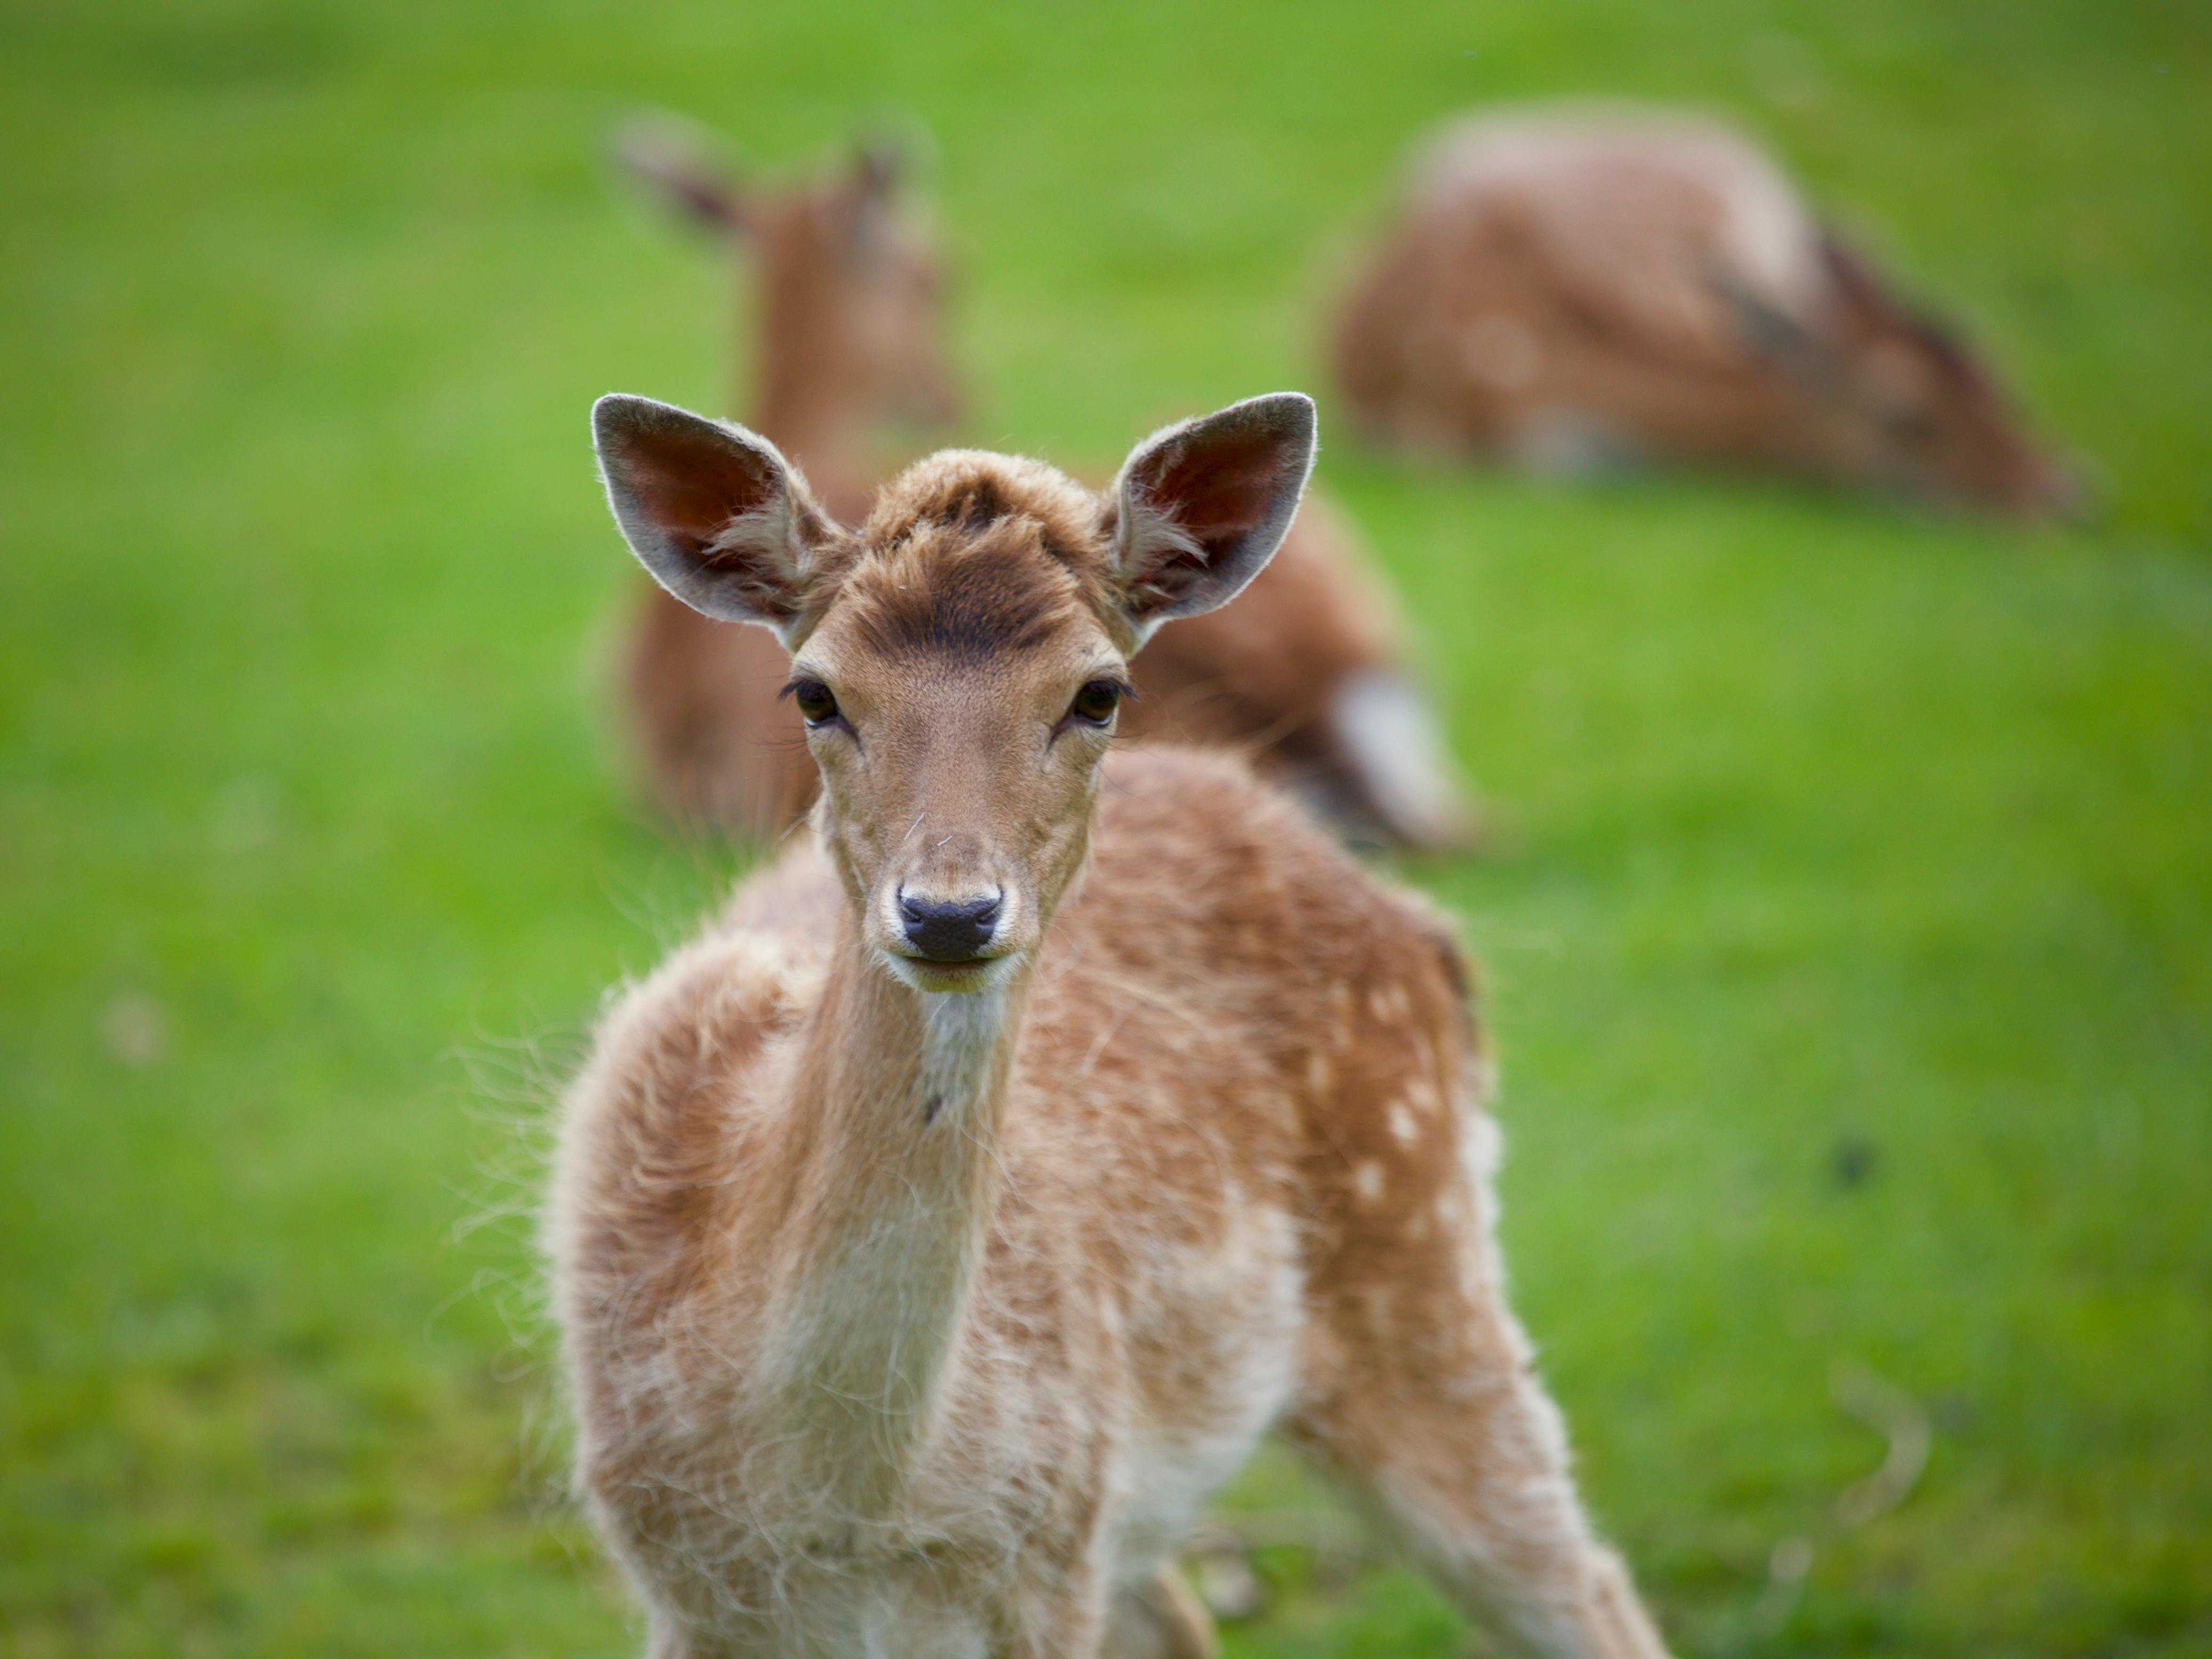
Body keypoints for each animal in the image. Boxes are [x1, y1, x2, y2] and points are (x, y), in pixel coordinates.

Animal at [549, 387, 1672, 1658]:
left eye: (1097, 692)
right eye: (813, 691)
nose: (949, 912)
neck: (844, 1504)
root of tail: (1421, 928)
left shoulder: (1047, 1554)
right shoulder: (685, 1585)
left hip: (1420, 1262)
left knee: (1595, 1590)